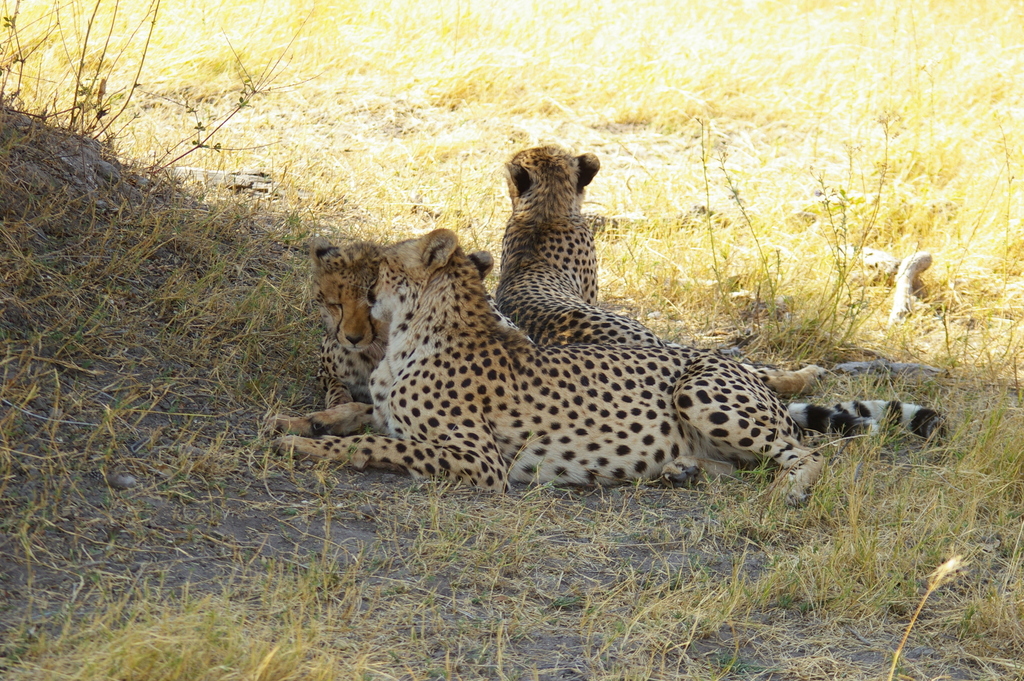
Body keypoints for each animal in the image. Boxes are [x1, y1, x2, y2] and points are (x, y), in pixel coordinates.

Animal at [275, 228, 904, 505]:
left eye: (383, 264)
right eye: (336, 296)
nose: (355, 325)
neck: (413, 331)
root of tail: (737, 367)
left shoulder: (481, 462)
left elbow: (378, 445)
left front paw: (306, 447)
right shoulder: (383, 407)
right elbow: (356, 415)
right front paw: (298, 423)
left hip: (699, 392)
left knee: (807, 453)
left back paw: (789, 488)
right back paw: (683, 470)